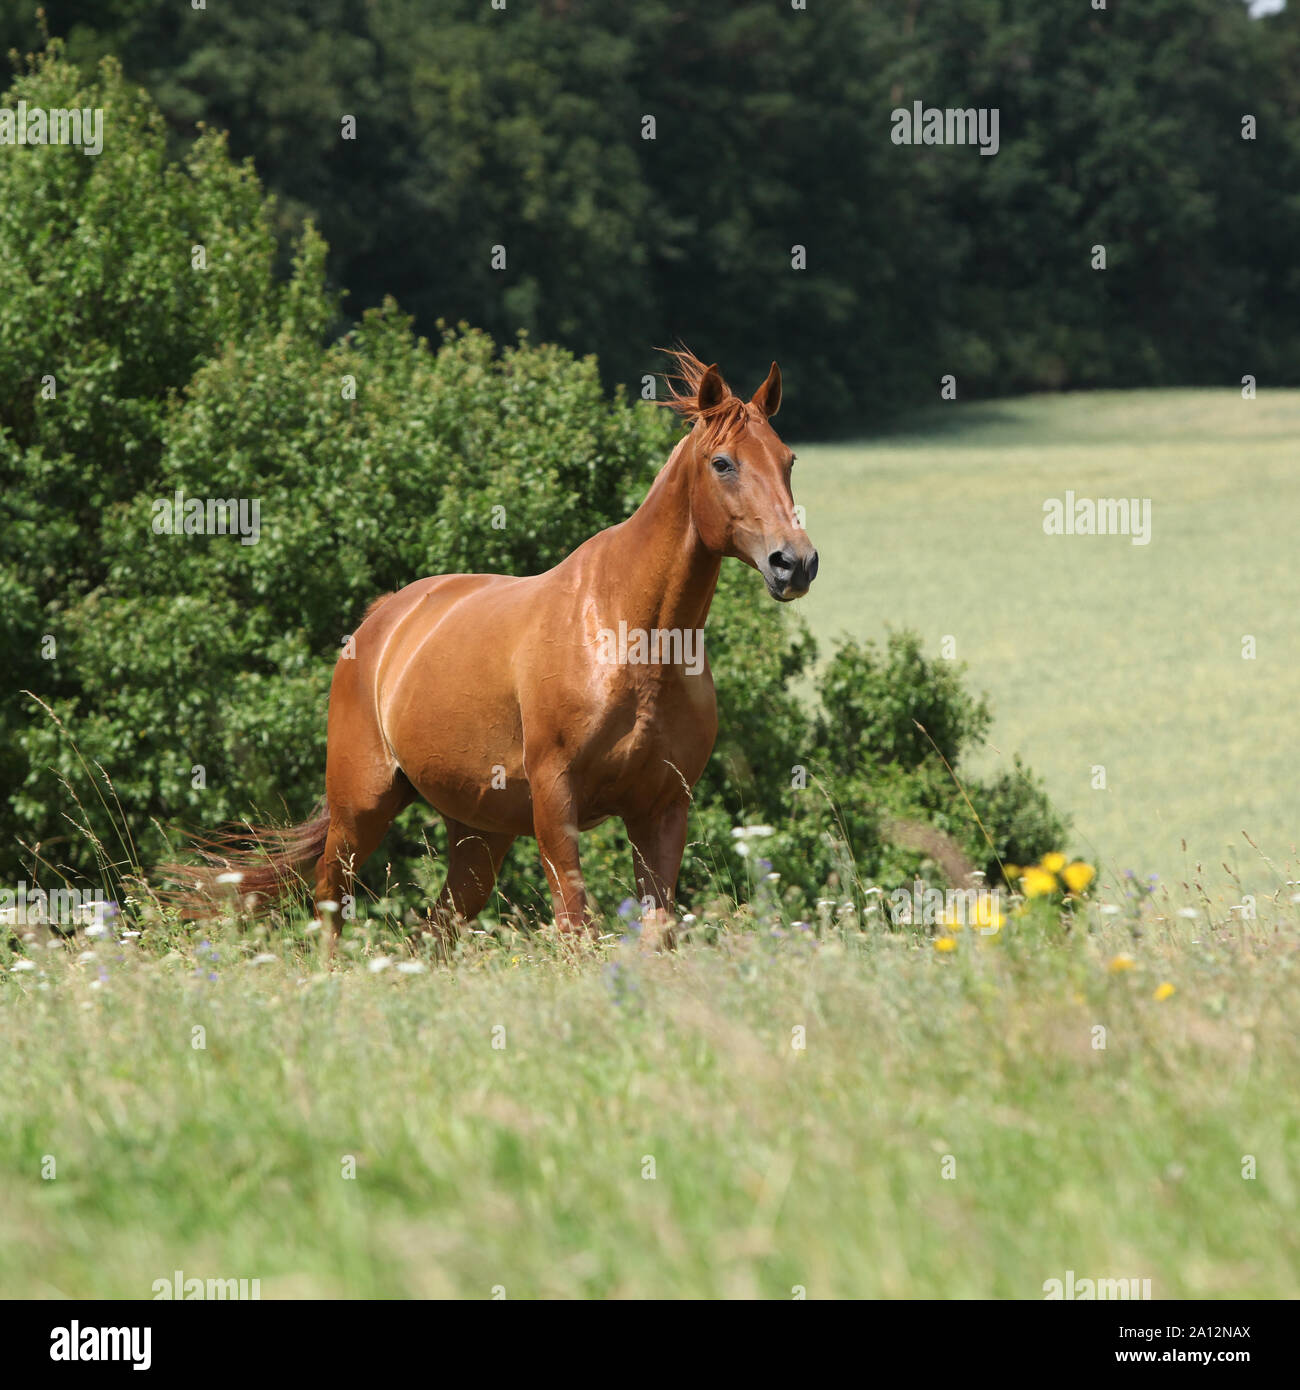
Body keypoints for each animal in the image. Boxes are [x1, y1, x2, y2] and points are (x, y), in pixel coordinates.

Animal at [171, 350, 818, 947]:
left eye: (788, 461)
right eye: (723, 463)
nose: (795, 563)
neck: (632, 637)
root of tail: (382, 621)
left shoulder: (662, 809)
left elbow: (656, 933)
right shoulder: (556, 803)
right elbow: (576, 926)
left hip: (479, 832)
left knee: (435, 928)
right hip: (361, 806)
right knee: (332, 899)